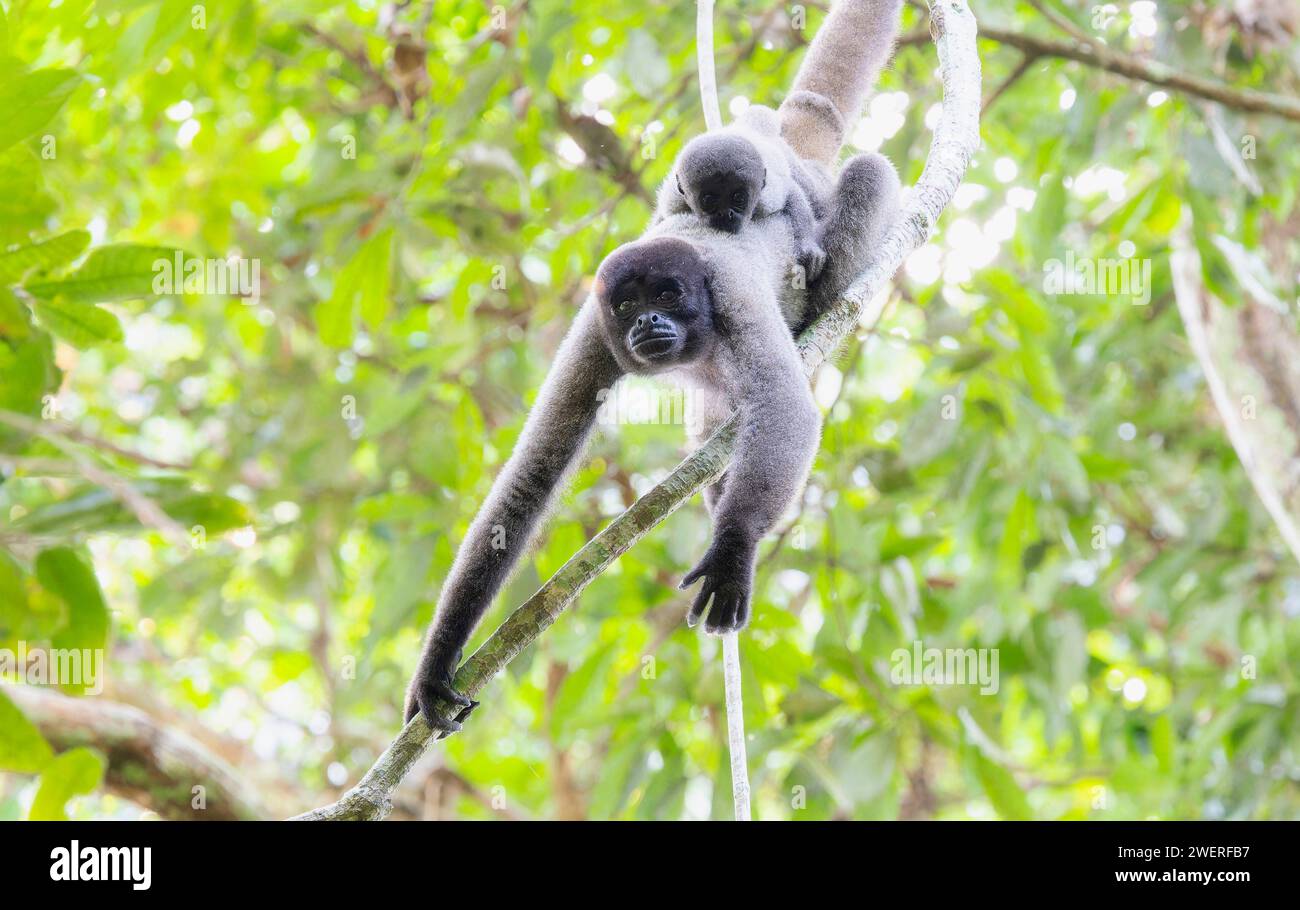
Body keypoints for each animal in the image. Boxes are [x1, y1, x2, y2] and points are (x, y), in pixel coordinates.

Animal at [654, 104, 829, 282]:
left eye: (739, 198)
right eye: (708, 200)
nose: (725, 213)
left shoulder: (767, 196)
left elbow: (791, 193)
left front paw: (807, 247)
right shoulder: (674, 201)